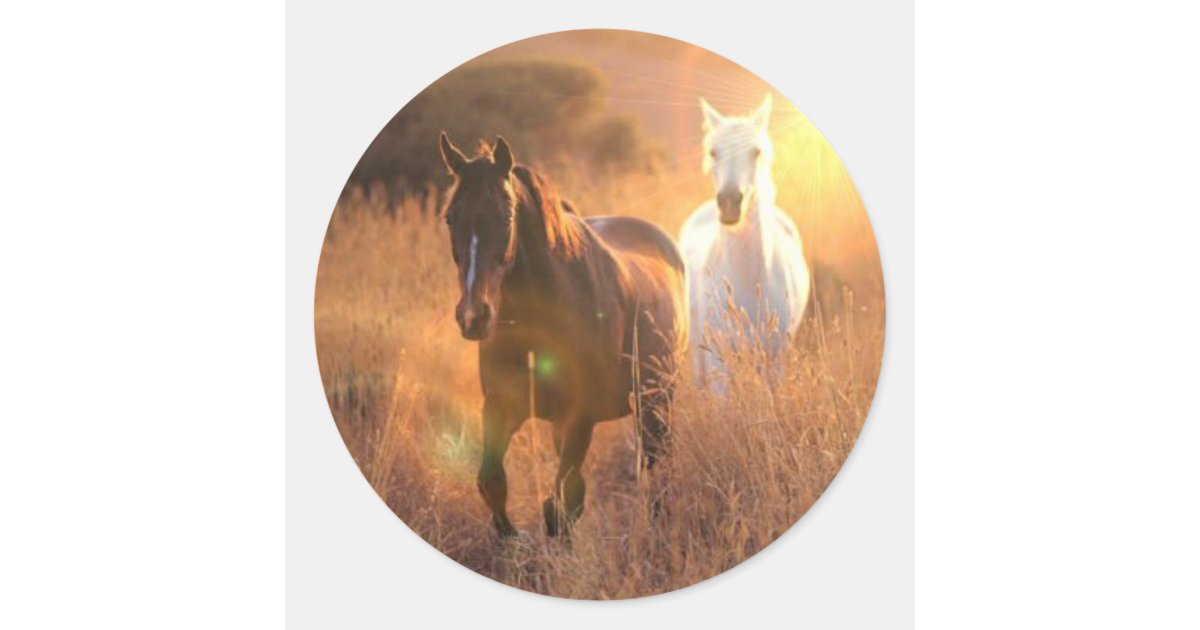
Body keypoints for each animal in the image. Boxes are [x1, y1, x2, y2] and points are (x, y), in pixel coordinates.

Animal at [437, 132, 688, 537]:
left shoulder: (578, 416)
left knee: (658, 462)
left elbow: (559, 506)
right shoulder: (500, 407)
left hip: (656, 398)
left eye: (506, 217)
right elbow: (492, 483)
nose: (473, 316)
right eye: (450, 217)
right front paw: (511, 540)